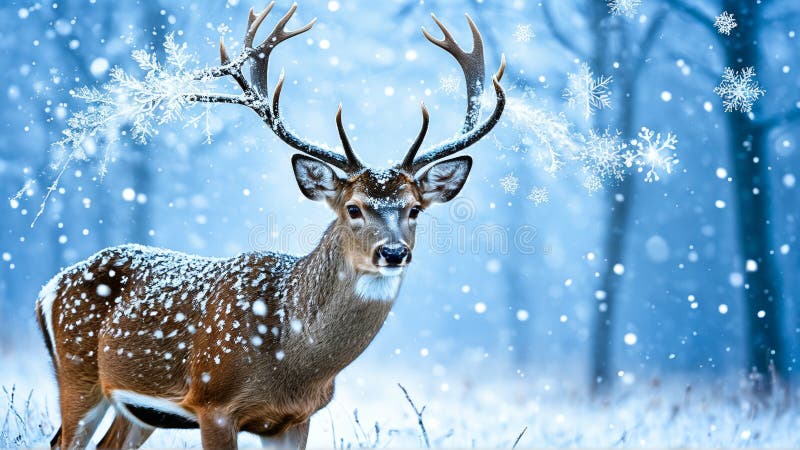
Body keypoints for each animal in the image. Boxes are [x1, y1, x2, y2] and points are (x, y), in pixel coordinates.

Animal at [35, 3, 505, 449]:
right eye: (353, 208)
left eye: (414, 209)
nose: (393, 252)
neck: (293, 361)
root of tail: (49, 286)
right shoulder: (213, 402)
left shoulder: (294, 419)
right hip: (78, 373)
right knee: (63, 439)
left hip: (138, 408)